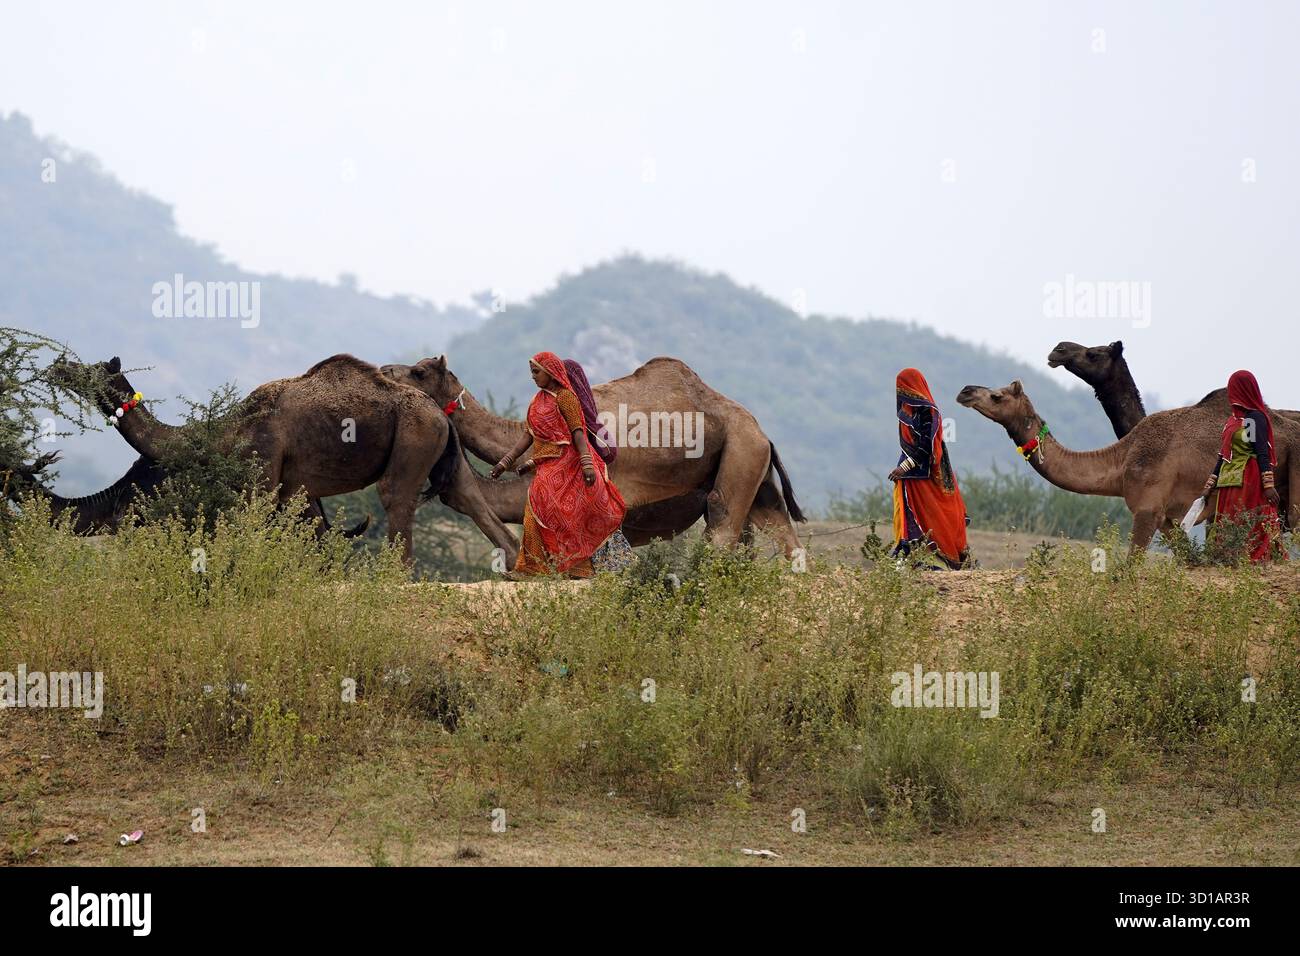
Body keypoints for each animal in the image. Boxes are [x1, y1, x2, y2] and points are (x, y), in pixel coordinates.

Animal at [50, 354, 518, 565]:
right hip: (444, 452)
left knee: (395, 497)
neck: (227, 428)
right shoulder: (296, 485)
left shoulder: (261, 465)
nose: (58, 365)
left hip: (415, 434)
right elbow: (311, 530)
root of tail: (439, 413)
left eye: (94, 369)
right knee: (467, 496)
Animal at [378, 355, 806, 555]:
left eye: (419, 371)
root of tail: (764, 434)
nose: (383, 369)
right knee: (780, 529)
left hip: (742, 450)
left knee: (722, 516)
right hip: (755, 470)